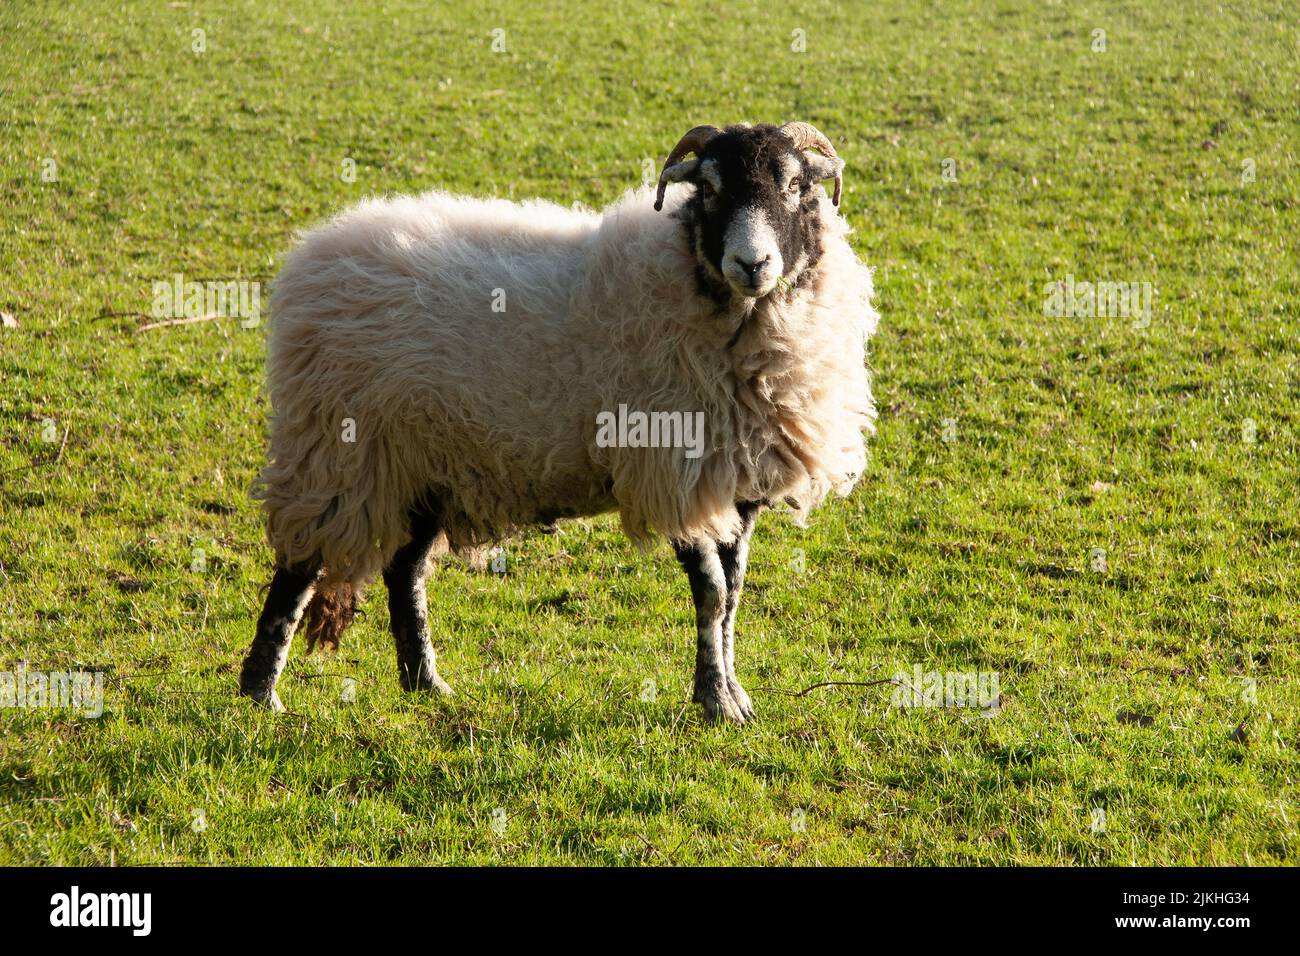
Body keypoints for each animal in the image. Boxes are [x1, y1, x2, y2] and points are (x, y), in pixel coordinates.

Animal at [238, 121, 879, 724]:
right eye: (711, 188)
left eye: (795, 185)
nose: (752, 263)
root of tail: (313, 256)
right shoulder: (673, 472)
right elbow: (713, 593)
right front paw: (717, 701)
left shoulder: (735, 481)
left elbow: (735, 592)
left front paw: (732, 693)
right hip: (337, 449)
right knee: (298, 570)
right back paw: (261, 694)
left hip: (422, 457)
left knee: (405, 570)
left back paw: (426, 684)